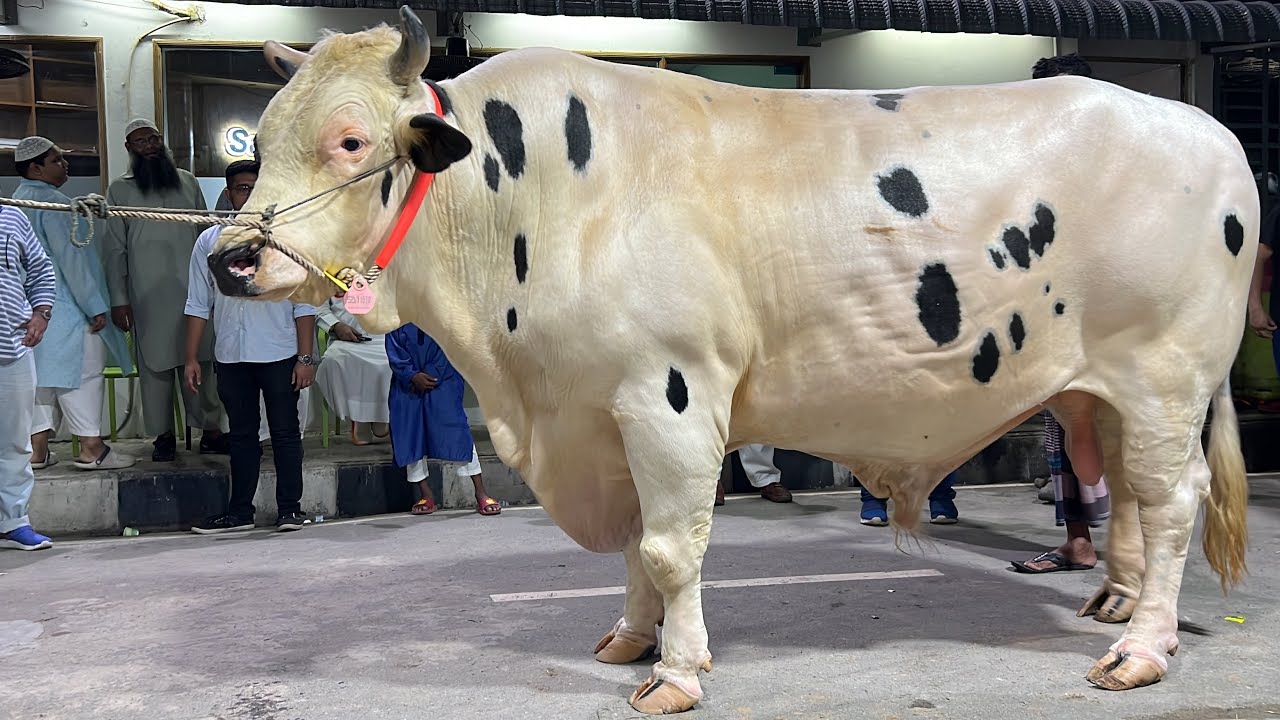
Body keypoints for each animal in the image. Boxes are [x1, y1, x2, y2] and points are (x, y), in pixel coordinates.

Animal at [207, 7, 1254, 714]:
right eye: (263, 136)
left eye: (350, 140)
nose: (231, 259)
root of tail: (1205, 128)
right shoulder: (601, 411)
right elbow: (638, 541)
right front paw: (631, 640)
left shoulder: (666, 394)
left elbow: (672, 546)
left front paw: (675, 672)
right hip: (1099, 393)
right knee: (1122, 490)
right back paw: (1114, 603)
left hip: (1166, 377)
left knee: (1169, 503)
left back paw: (1143, 648)